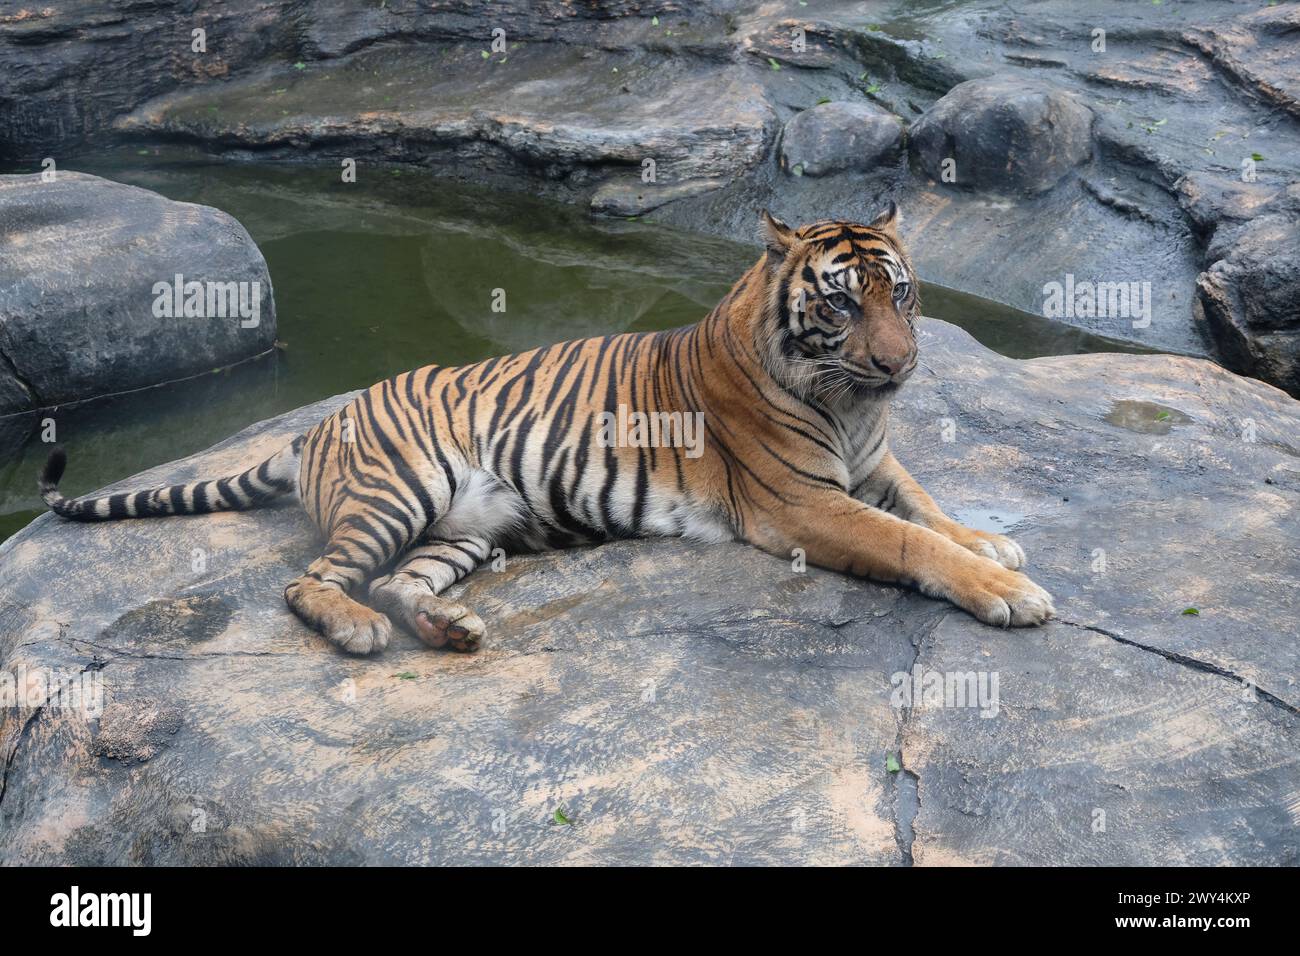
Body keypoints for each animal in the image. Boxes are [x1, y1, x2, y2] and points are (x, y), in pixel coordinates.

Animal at [38, 204, 1055, 655]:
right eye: (842, 305)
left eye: (903, 295)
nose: (901, 365)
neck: (849, 406)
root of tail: (317, 426)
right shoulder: (802, 503)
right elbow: (906, 539)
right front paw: (1010, 591)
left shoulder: (873, 460)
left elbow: (926, 505)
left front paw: (992, 542)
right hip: (396, 489)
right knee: (311, 581)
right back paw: (359, 630)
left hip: (465, 529)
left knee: (404, 583)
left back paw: (447, 628)